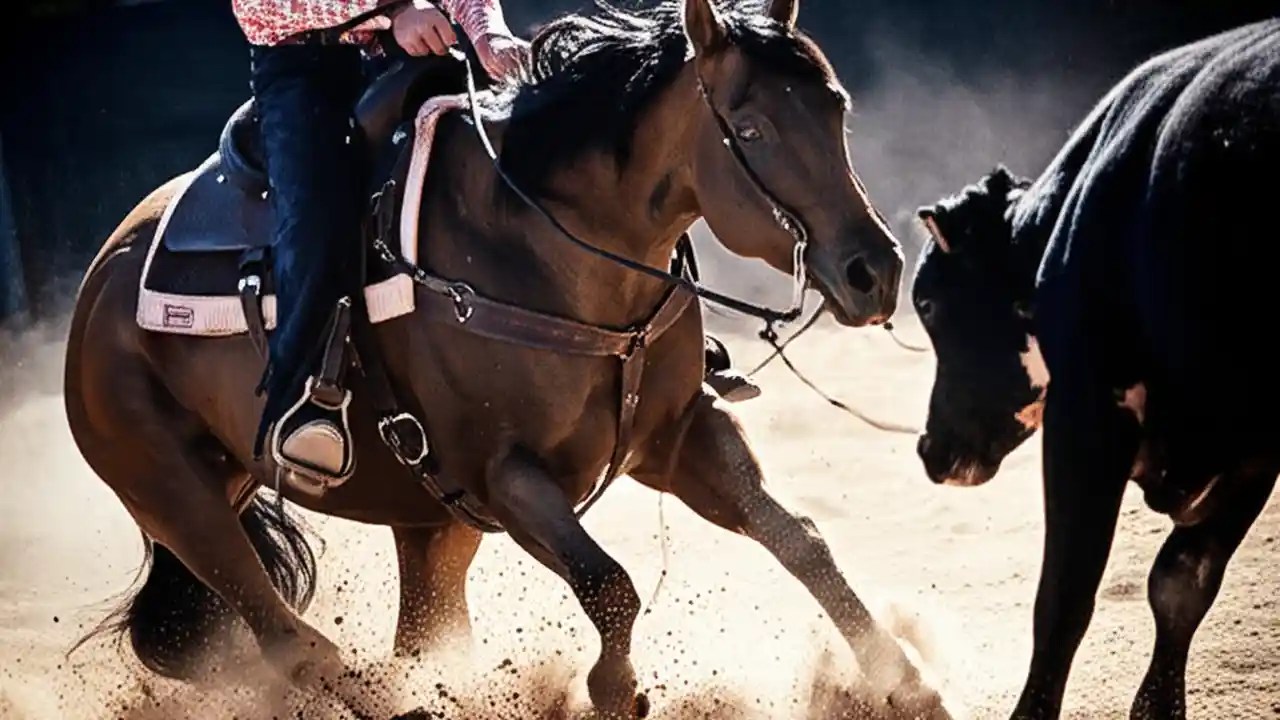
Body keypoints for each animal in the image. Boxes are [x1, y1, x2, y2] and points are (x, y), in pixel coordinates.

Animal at [64, 0, 949, 717]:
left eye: (836, 111)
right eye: (753, 128)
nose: (874, 272)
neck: (548, 245)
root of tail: (102, 282)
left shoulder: (681, 436)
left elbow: (800, 540)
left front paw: (908, 687)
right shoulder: (506, 475)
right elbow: (610, 585)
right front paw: (615, 691)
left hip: (427, 523)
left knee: (415, 638)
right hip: (176, 497)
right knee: (297, 643)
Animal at [909, 18, 1280, 720]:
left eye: (927, 304)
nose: (929, 449)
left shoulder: (1087, 411)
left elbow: (1068, 597)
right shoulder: (1252, 452)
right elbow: (1182, 580)